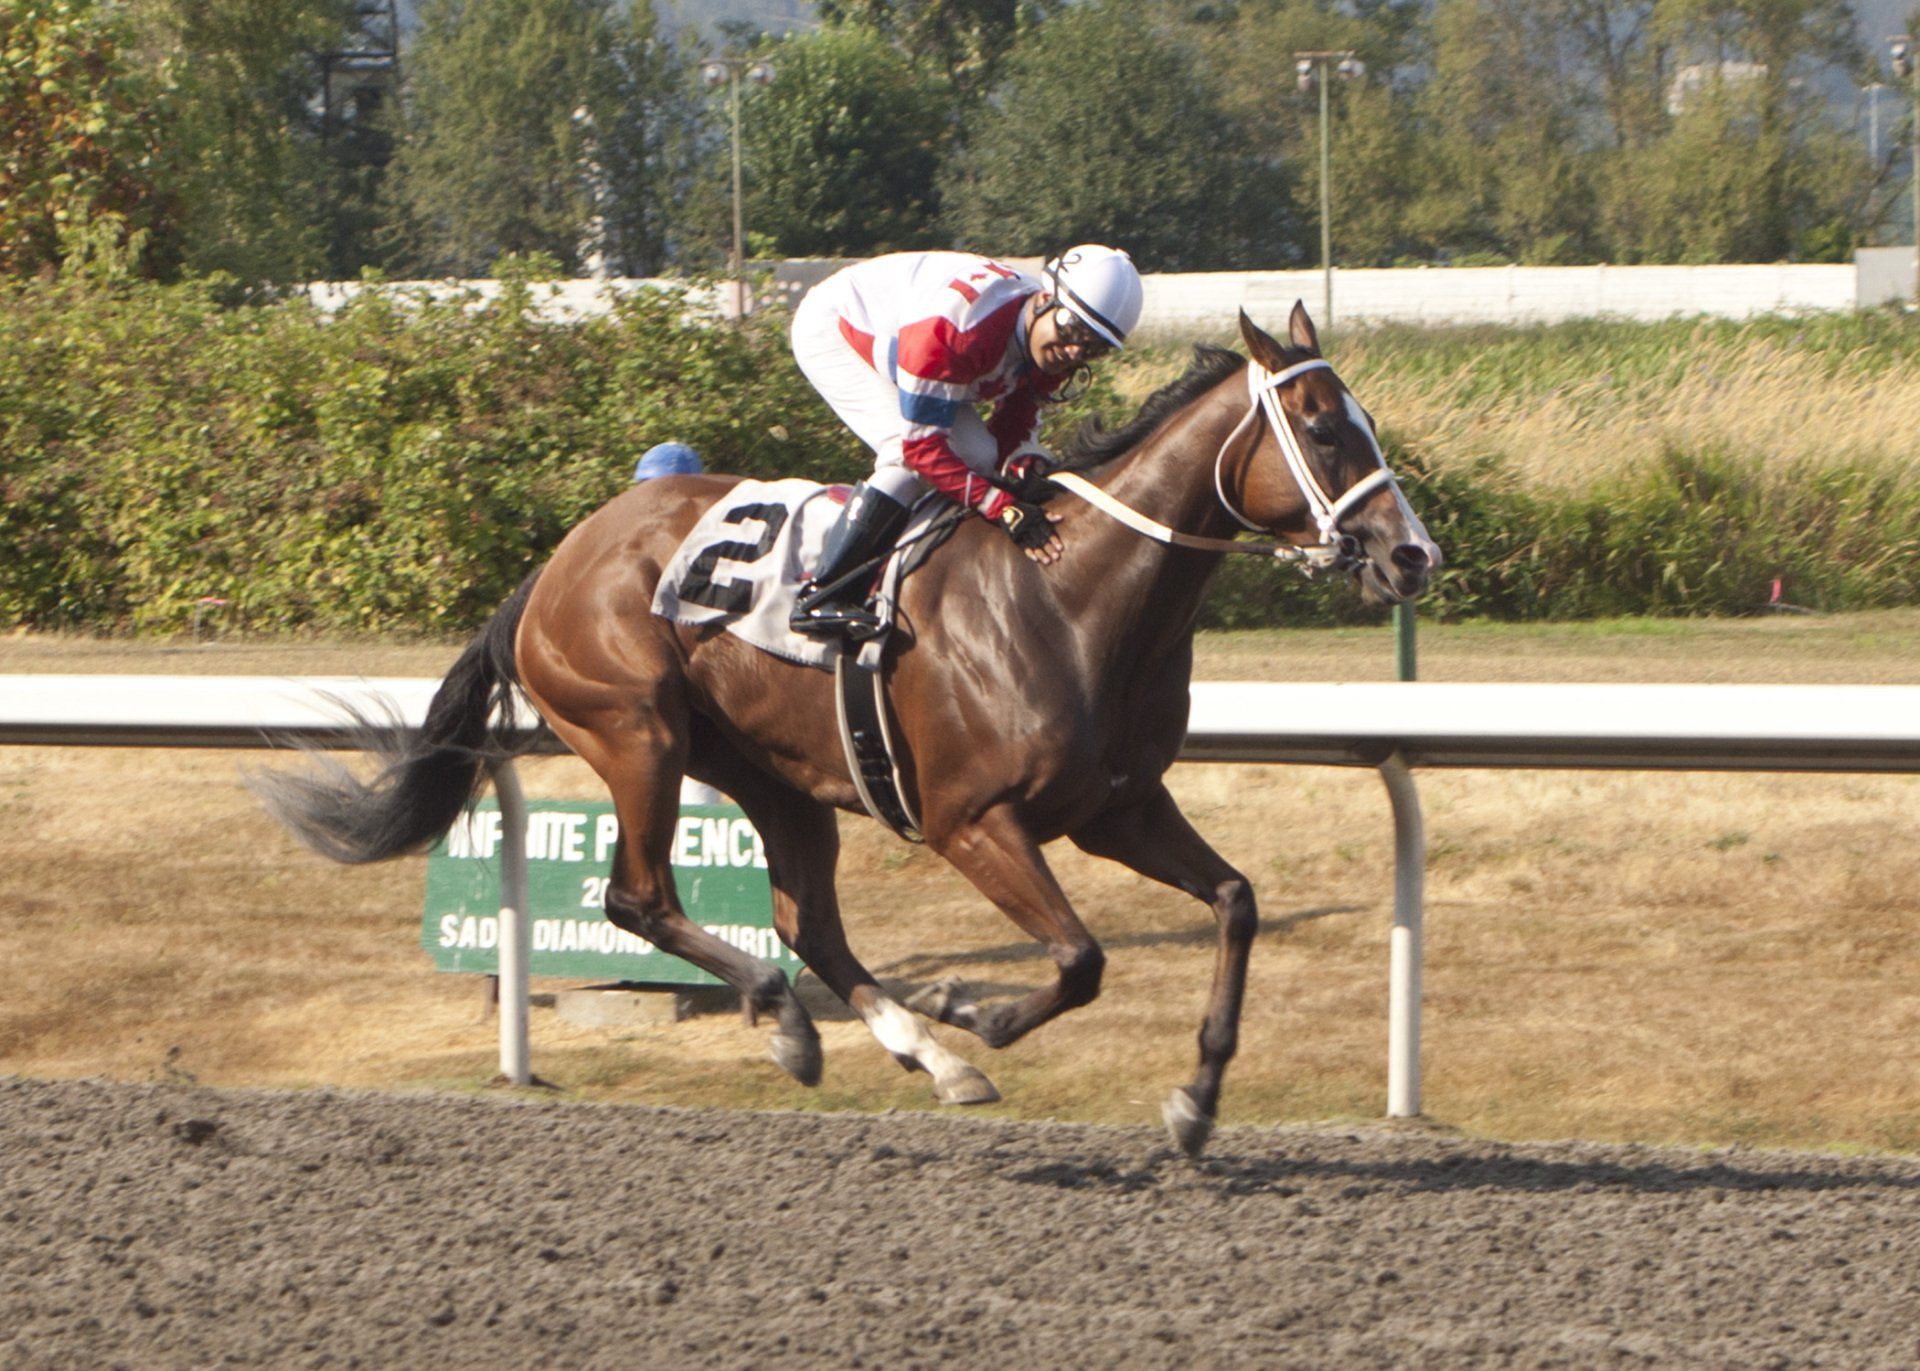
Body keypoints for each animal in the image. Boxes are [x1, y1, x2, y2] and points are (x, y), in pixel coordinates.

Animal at [259, 304, 1440, 1157]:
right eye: (1324, 429)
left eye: (1365, 424)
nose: (1412, 556)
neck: (1070, 595)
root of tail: (551, 566)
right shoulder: (973, 820)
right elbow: (1081, 957)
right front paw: (976, 1006)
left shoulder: (1116, 807)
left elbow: (1235, 902)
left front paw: (1194, 1099)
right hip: (639, 732)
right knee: (641, 898)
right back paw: (797, 1019)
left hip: (776, 776)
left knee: (808, 922)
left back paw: (919, 1051)